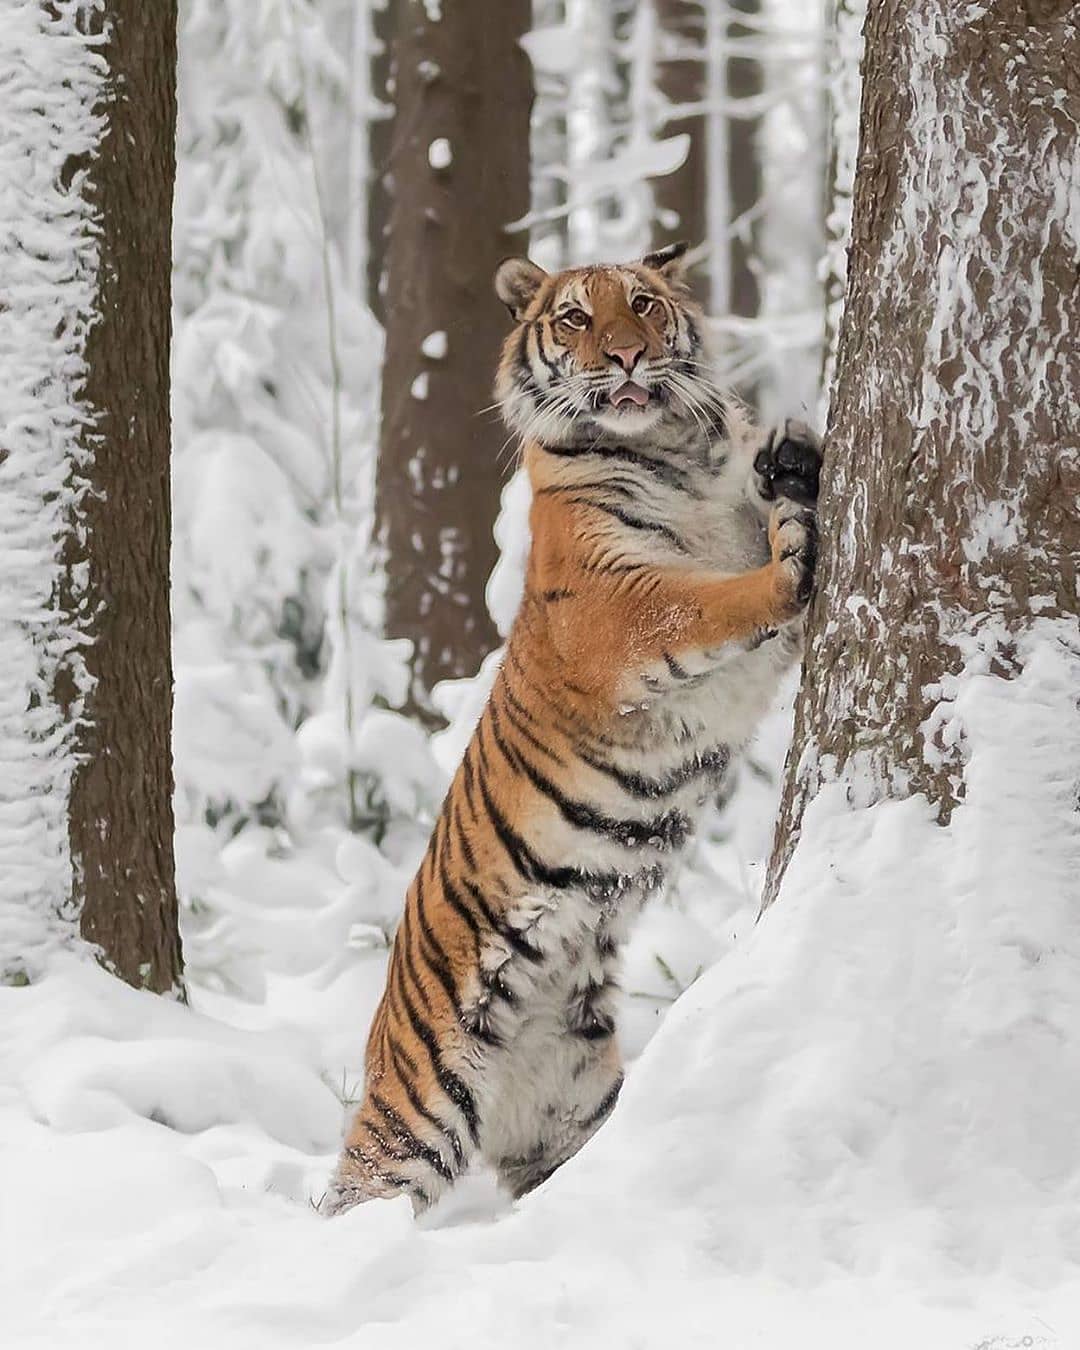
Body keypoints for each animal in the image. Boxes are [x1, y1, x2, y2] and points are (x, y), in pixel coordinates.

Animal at [326, 241, 822, 1214]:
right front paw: (790, 553)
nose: (626, 356)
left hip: (572, 1111)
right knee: (347, 1198)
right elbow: (716, 602)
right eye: (575, 318)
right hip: (410, 1120)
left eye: (644, 304)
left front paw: (792, 461)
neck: (677, 453)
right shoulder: (620, 609)